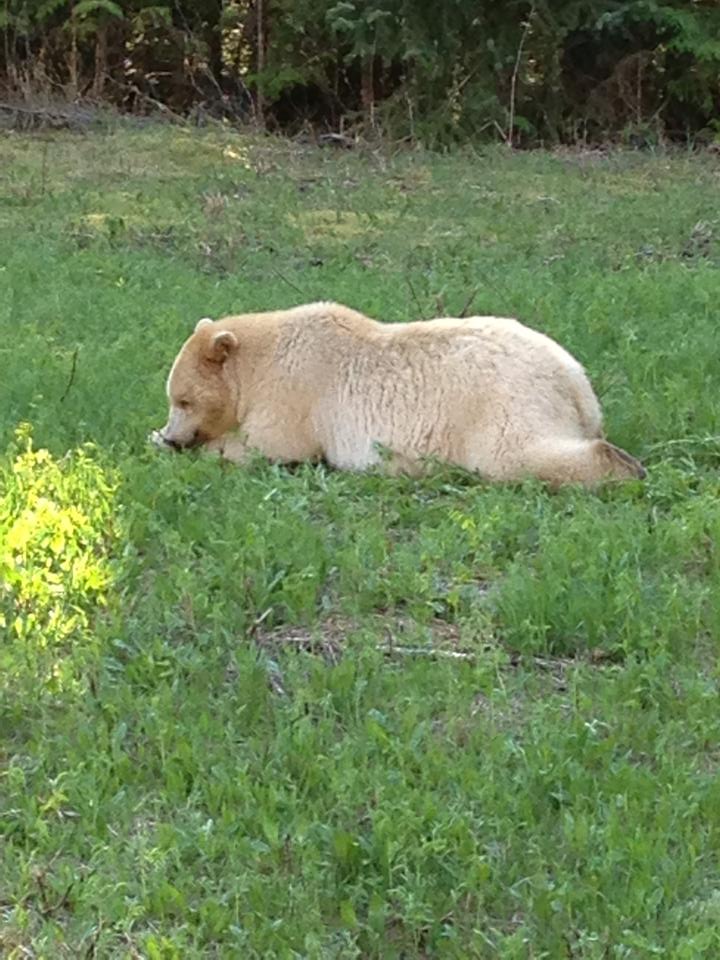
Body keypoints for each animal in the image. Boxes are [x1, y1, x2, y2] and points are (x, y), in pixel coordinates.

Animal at [150, 301, 645, 488]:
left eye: (184, 400)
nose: (173, 435)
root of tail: (576, 380)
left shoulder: (294, 389)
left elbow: (269, 445)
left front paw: (190, 448)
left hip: (502, 403)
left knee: (516, 454)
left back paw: (623, 468)